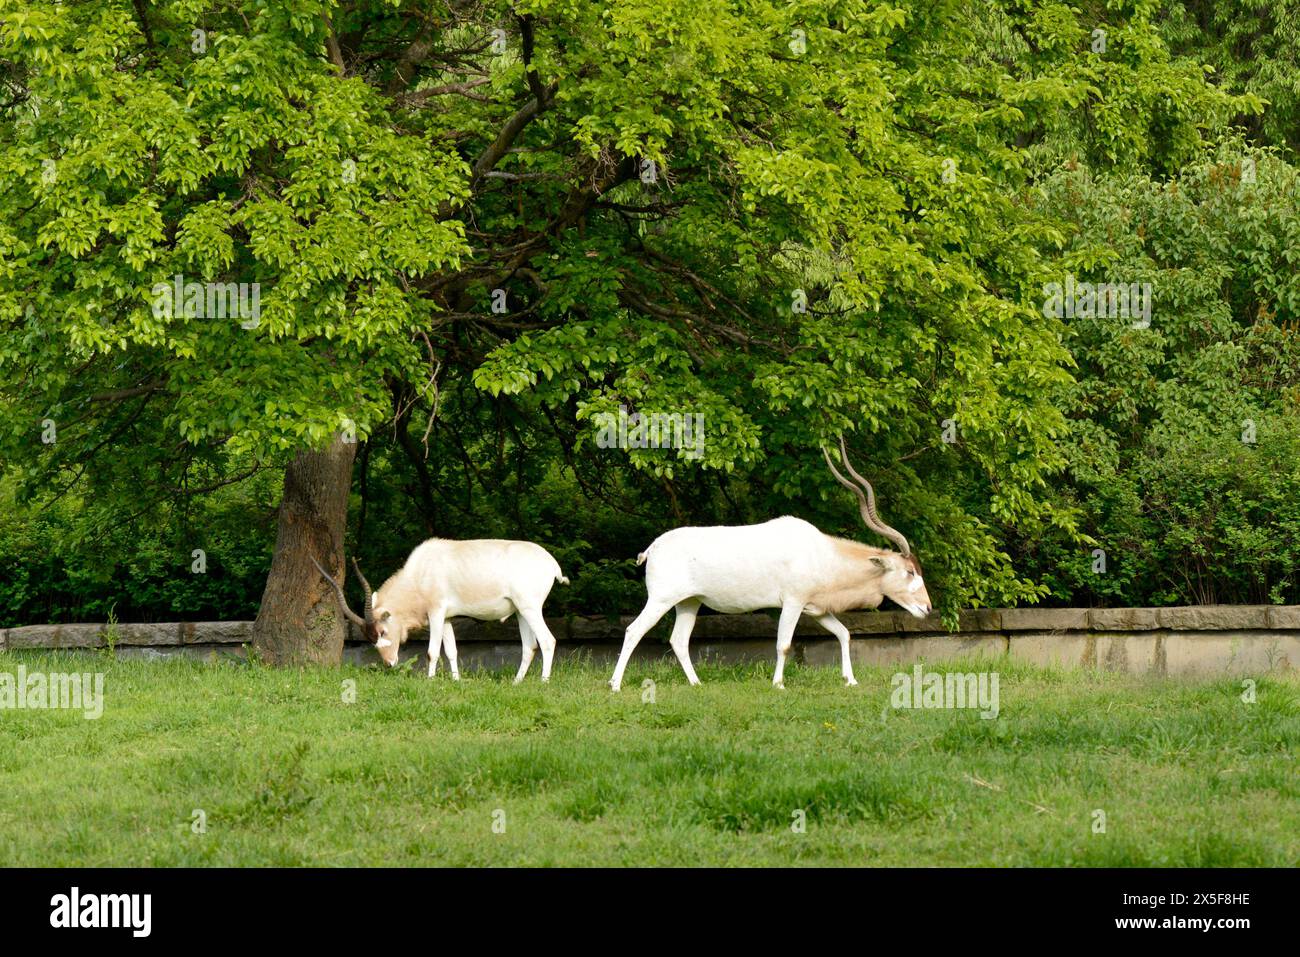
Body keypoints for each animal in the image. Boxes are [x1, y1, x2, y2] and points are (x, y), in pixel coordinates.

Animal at [313, 539, 568, 682]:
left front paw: (430, 680)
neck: (420, 573)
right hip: (520, 612)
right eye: (369, 637)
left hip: (530, 608)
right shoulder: (446, 619)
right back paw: (516, 682)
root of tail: (552, 564)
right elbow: (452, 651)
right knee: (529, 646)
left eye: (383, 632)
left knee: (547, 641)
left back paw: (543, 682)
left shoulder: (436, 613)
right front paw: (456, 681)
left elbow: (432, 651)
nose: (389, 663)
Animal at [609, 437, 932, 691]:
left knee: (678, 639)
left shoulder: (815, 608)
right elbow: (784, 644)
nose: (927, 608)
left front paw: (850, 680)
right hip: (661, 600)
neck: (822, 552)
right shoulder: (792, 603)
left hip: (689, 602)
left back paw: (696, 683)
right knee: (634, 631)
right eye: (909, 571)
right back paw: (615, 685)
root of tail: (652, 548)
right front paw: (778, 684)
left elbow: (844, 633)